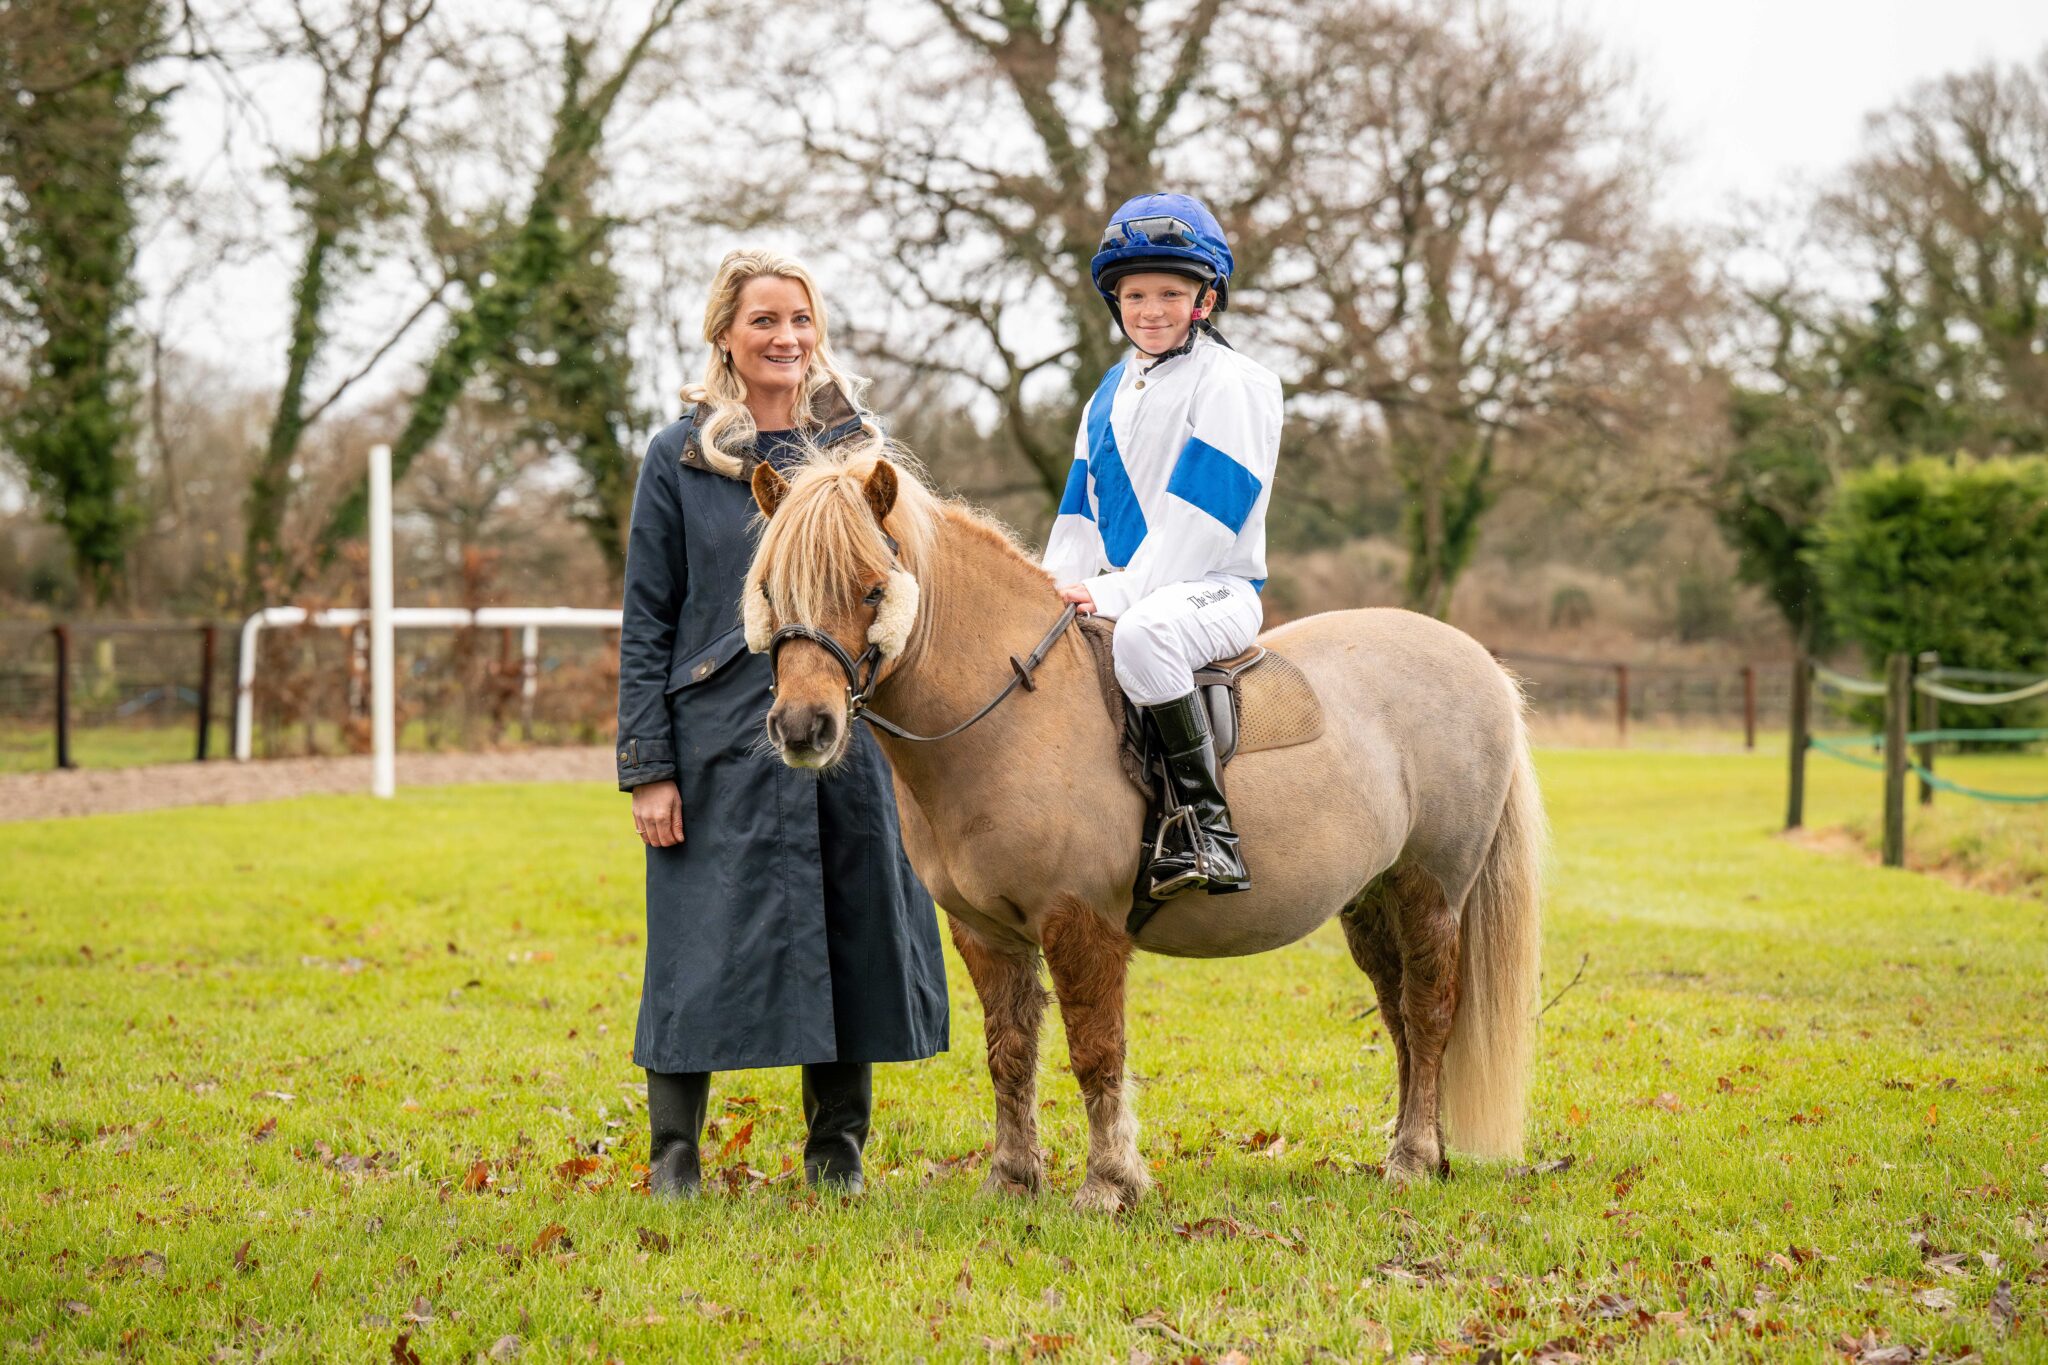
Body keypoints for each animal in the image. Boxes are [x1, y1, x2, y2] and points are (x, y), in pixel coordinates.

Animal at [741, 443, 1545, 1211]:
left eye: (872, 588)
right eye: (770, 590)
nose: (803, 727)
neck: (1008, 713)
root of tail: (1477, 660)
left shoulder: (1080, 922)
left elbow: (1096, 1050)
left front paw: (1107, 1184)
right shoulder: (985, 932)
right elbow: (1009, 1052)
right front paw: (1012, 1177)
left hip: (1430, 892)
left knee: (1429, 1013)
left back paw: (1411, 1160)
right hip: (1373, 900)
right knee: (1401, 1018)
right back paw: (1421, 1152)